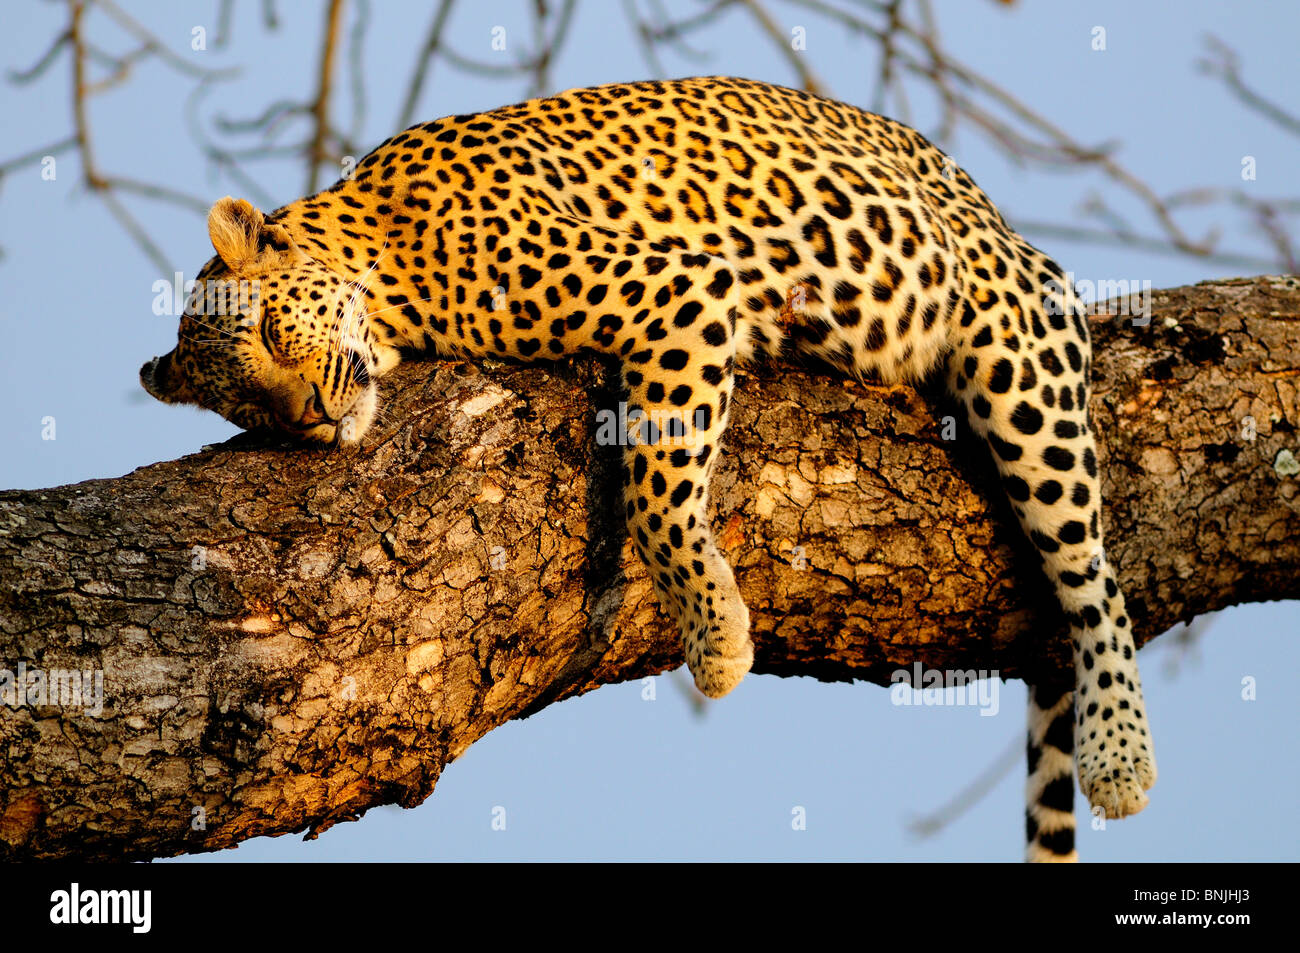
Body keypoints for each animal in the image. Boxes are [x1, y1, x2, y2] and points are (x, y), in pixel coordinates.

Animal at [141, 76, 1156, 862]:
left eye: (276, 337)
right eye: (252, 412)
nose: (312, 417)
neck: (385, 256)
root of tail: (990, 209)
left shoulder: (680, 289)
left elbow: (655, 494)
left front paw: (714, 634)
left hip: (1015, 346)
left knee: (1091, 572)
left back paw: (1121, 755)